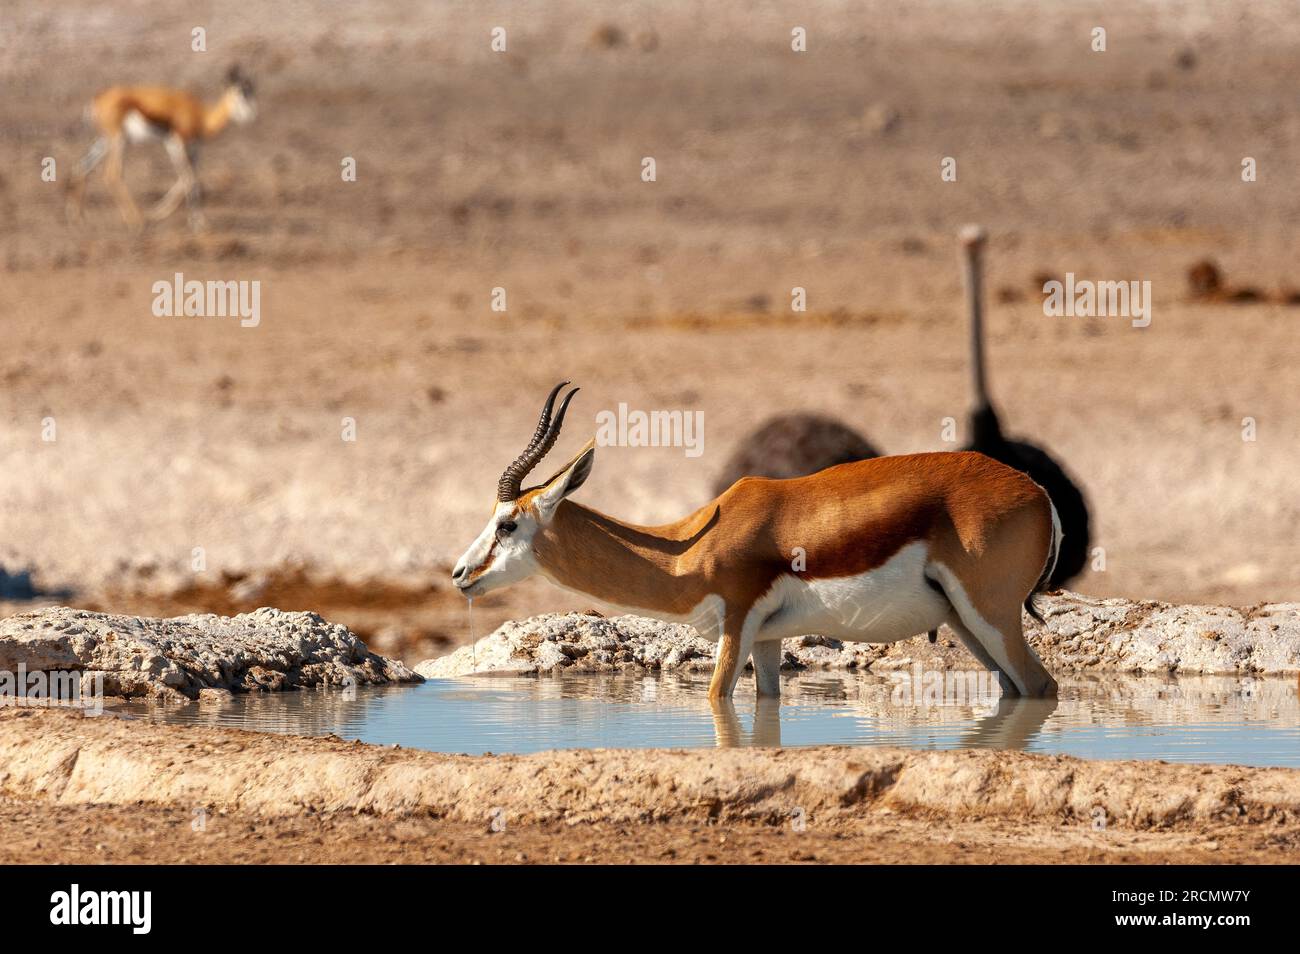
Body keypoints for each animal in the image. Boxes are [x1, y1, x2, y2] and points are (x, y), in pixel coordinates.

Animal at [66, 66, 257, 230]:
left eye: (252, 91)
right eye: (240, 93)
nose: (251, 115)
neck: (201, 117)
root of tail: (97, 99)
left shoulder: (194, 150)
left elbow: (189, 179)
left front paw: (170, 215)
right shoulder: (175, 143)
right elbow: (189, 179)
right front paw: (195, 223)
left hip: (105, 141)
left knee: (82, 166)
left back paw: (78, 217)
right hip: (118, 141)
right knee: (112, 173)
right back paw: (137, 221)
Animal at [453, 383, 1061, 701]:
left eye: (507, 524)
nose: (460, 574)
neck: (688, 548)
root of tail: (1038, 492)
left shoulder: (737, 625)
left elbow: (717, 699)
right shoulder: (768, 640)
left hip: (990, 615)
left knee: (1043, 685)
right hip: (965, 622)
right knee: (1018, 691)